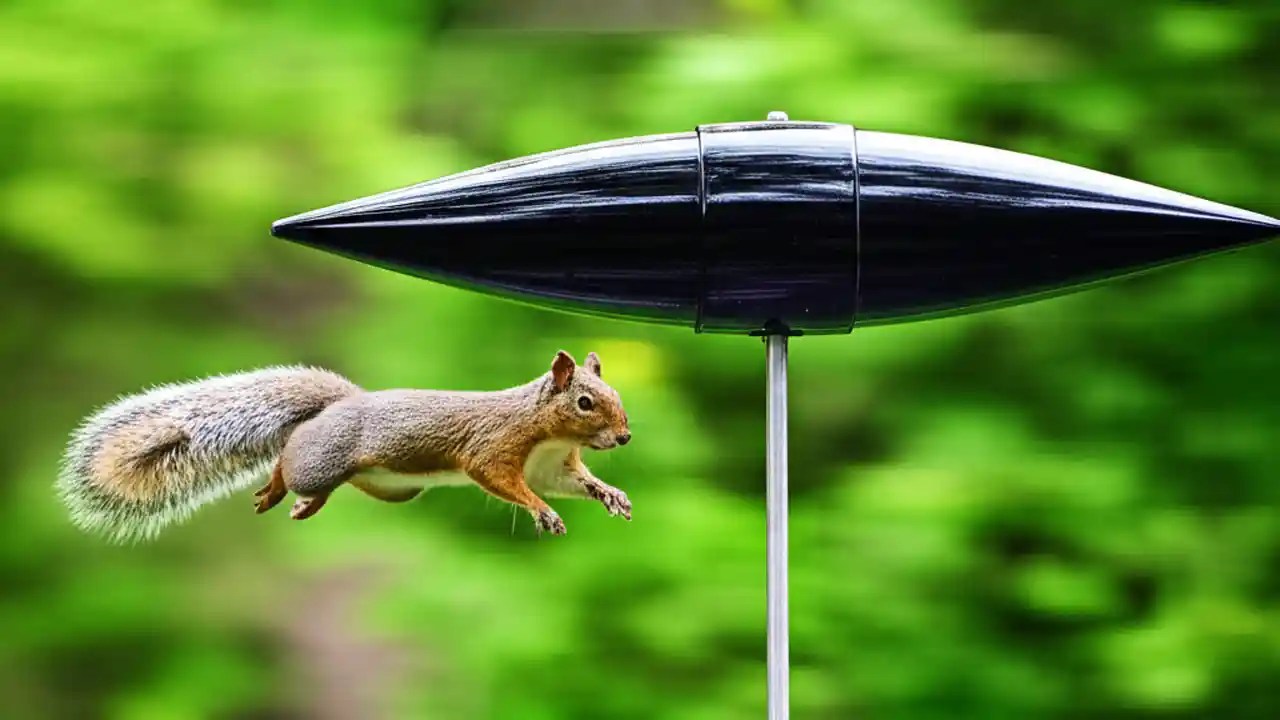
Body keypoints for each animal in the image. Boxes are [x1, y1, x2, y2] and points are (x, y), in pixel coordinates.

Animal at [58, 350, 633, 542]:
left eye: (616, 395)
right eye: (585, 402)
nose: (625, 436)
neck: (550, 435)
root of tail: (333, 410)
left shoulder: (553, 467)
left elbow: (572, 483)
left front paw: (611, 494)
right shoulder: (493, 448)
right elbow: (504, 481)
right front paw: (542, 513)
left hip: (388, 486)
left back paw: (305, 506)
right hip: (320, 459)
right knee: (286, 462)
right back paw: (276, 493)